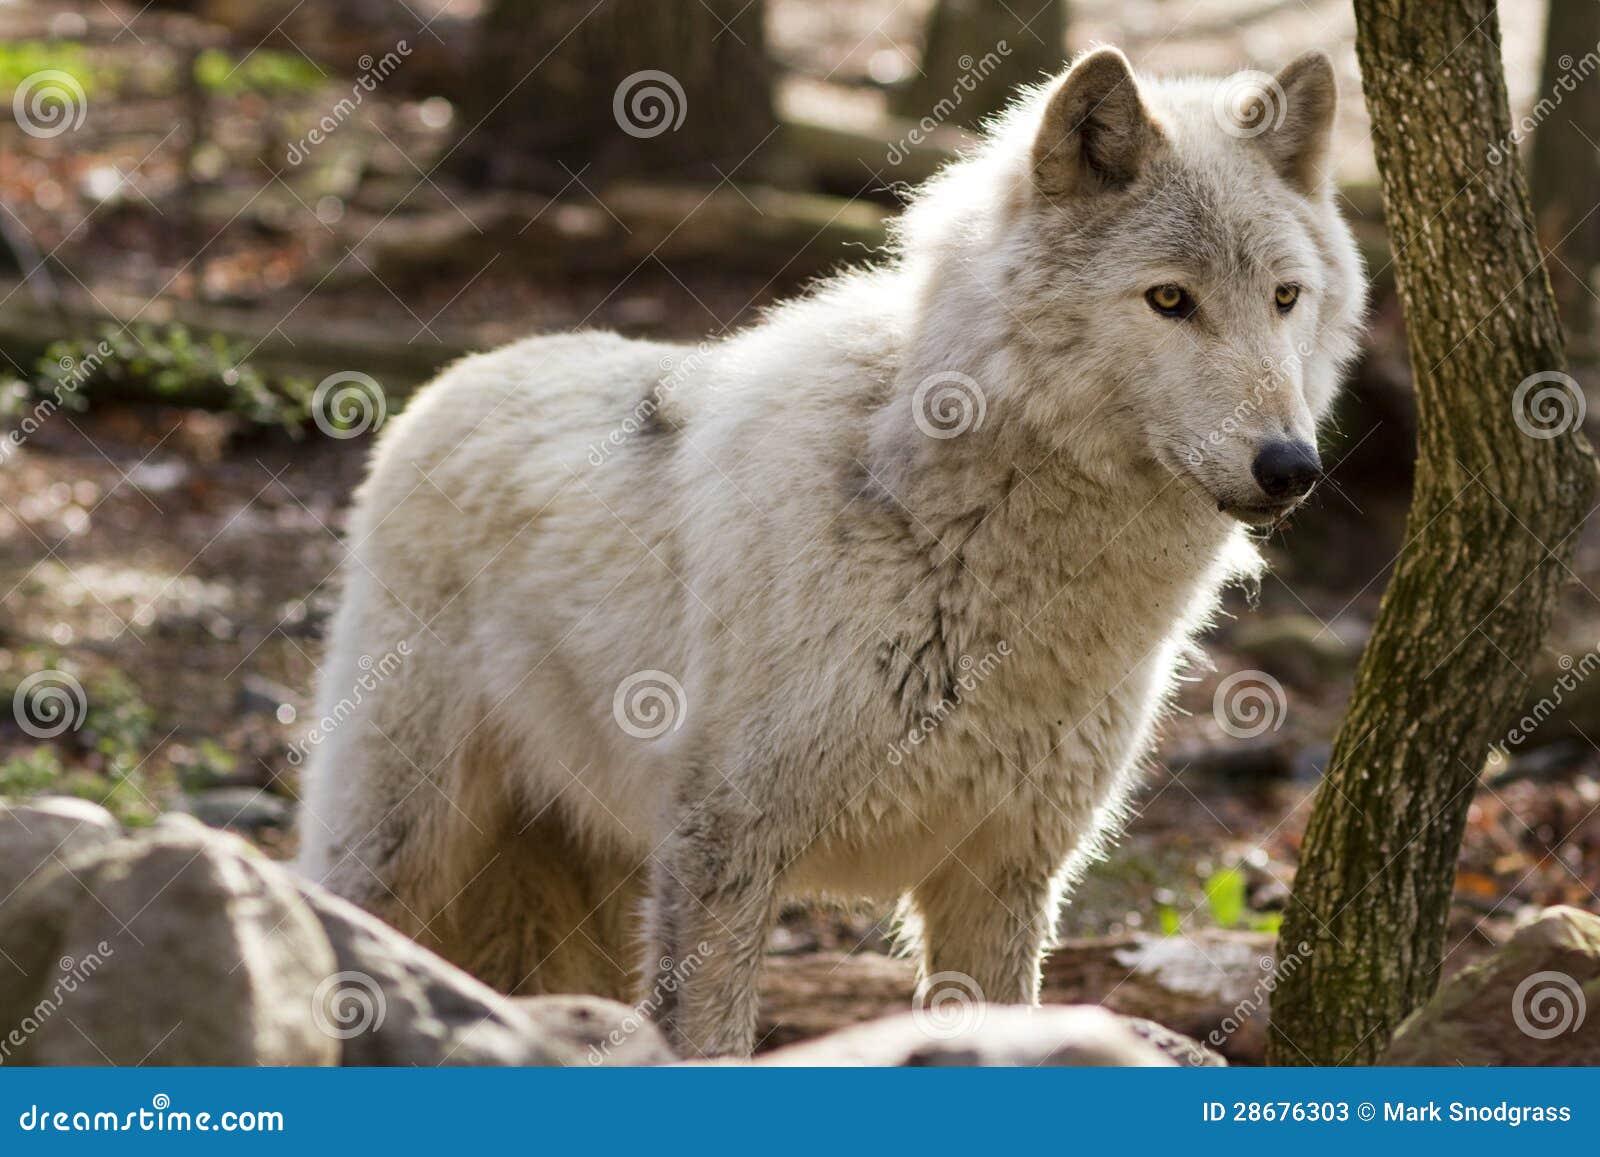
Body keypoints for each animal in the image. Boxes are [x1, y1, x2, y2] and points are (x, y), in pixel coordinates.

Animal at [296, 47, 1365, 1057]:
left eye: (1285, 297)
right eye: (1171, 299)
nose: (1290, 466)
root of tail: (455, 377)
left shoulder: (1003, 875)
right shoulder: (722, 852)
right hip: (400, 846)